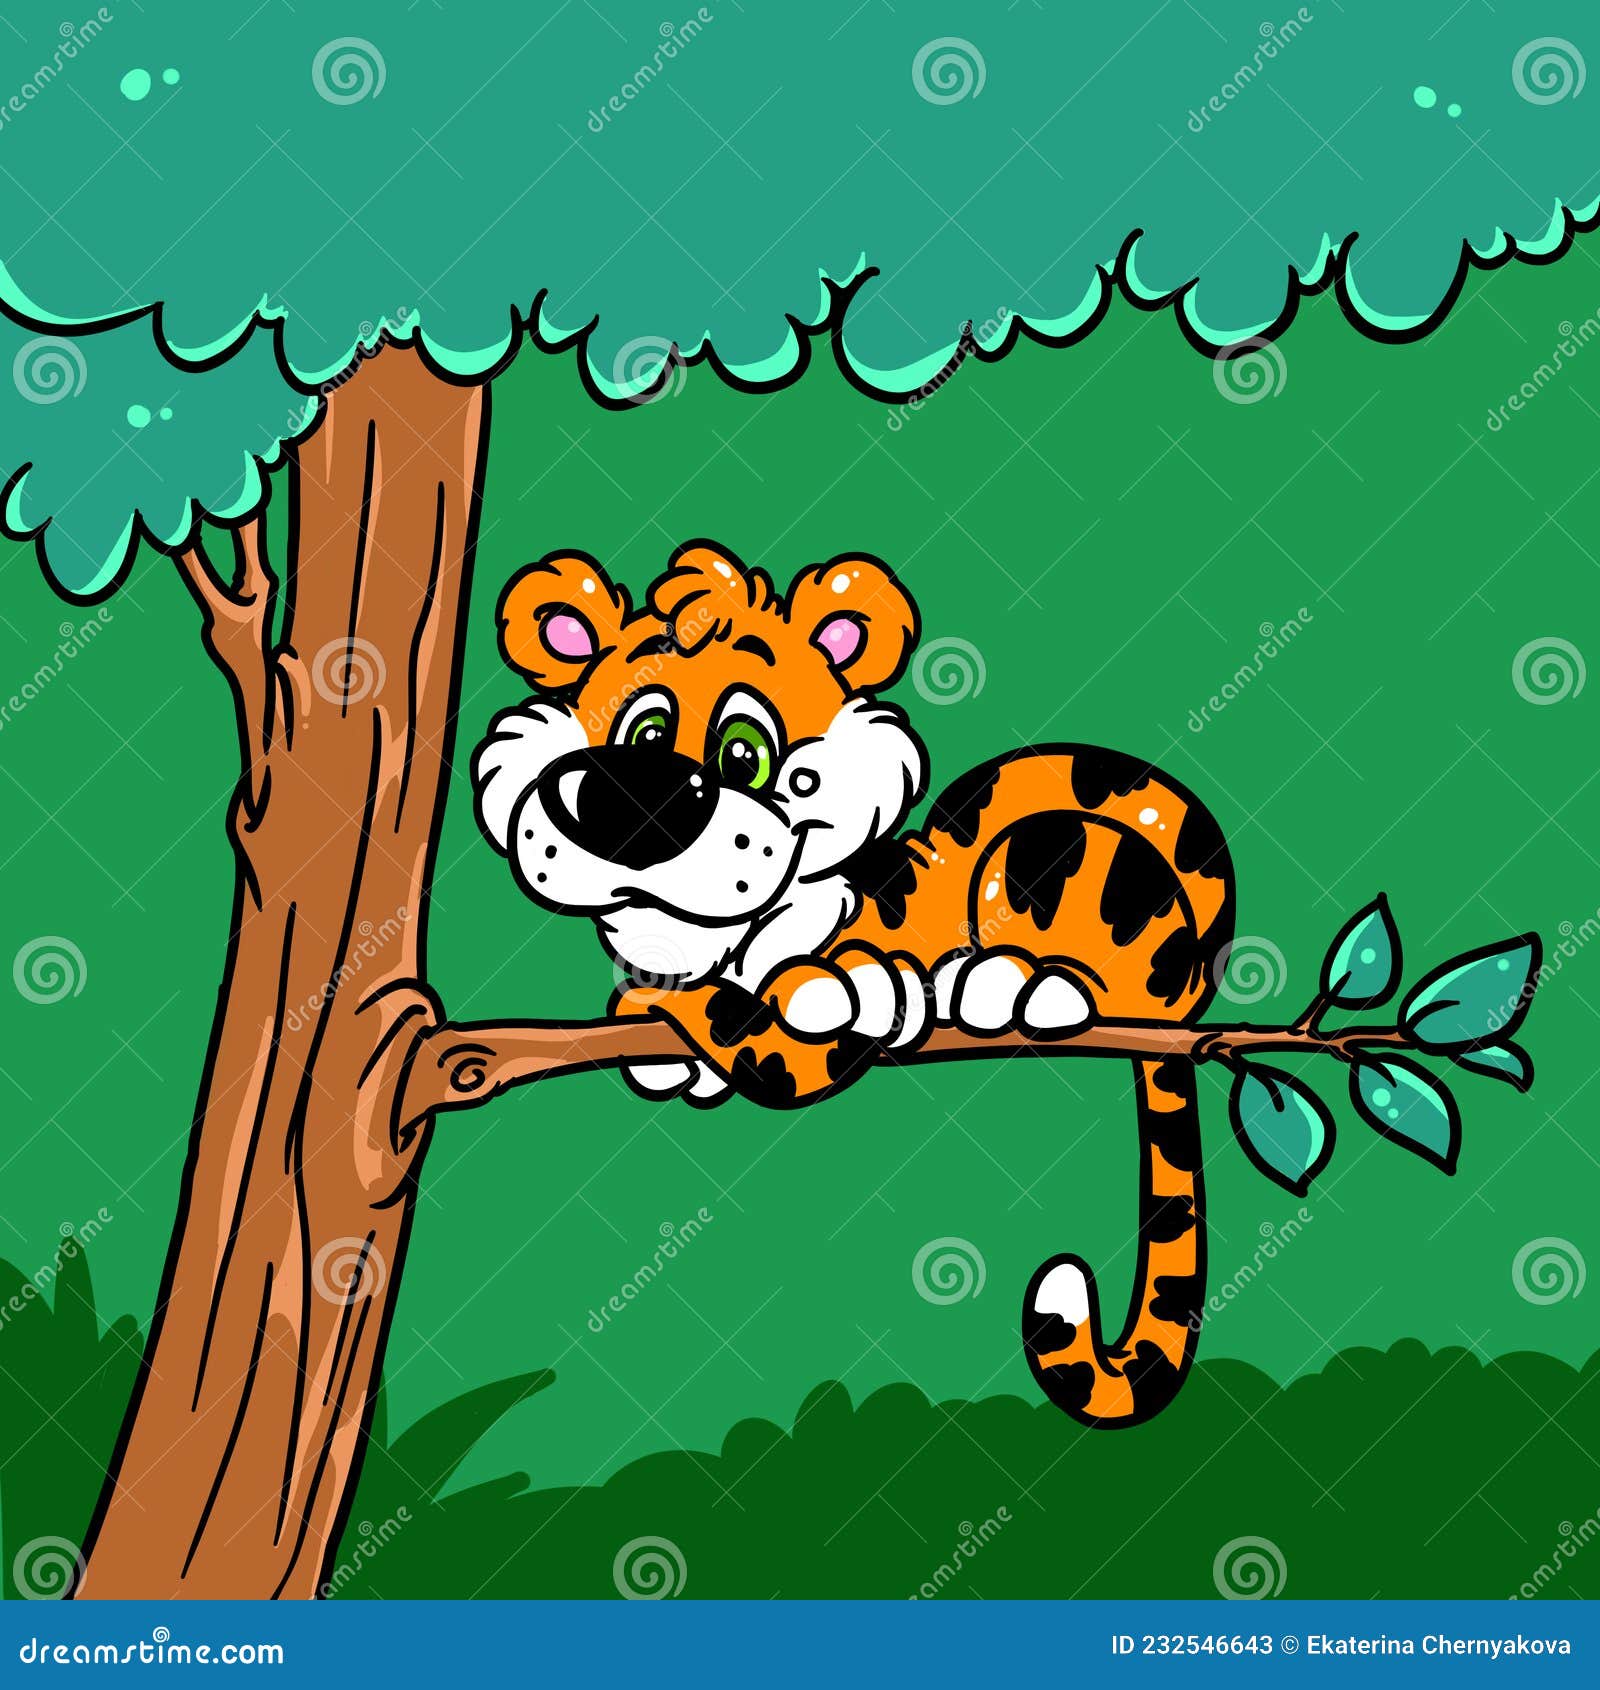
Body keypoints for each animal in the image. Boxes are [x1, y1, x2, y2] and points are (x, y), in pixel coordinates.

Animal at [473, 541, 1236, 1428]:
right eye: (643, 730)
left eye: (744, 752)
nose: (623, 801)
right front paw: (668, 1052)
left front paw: (843, 988)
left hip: (1062, 861)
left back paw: (1014, 983)